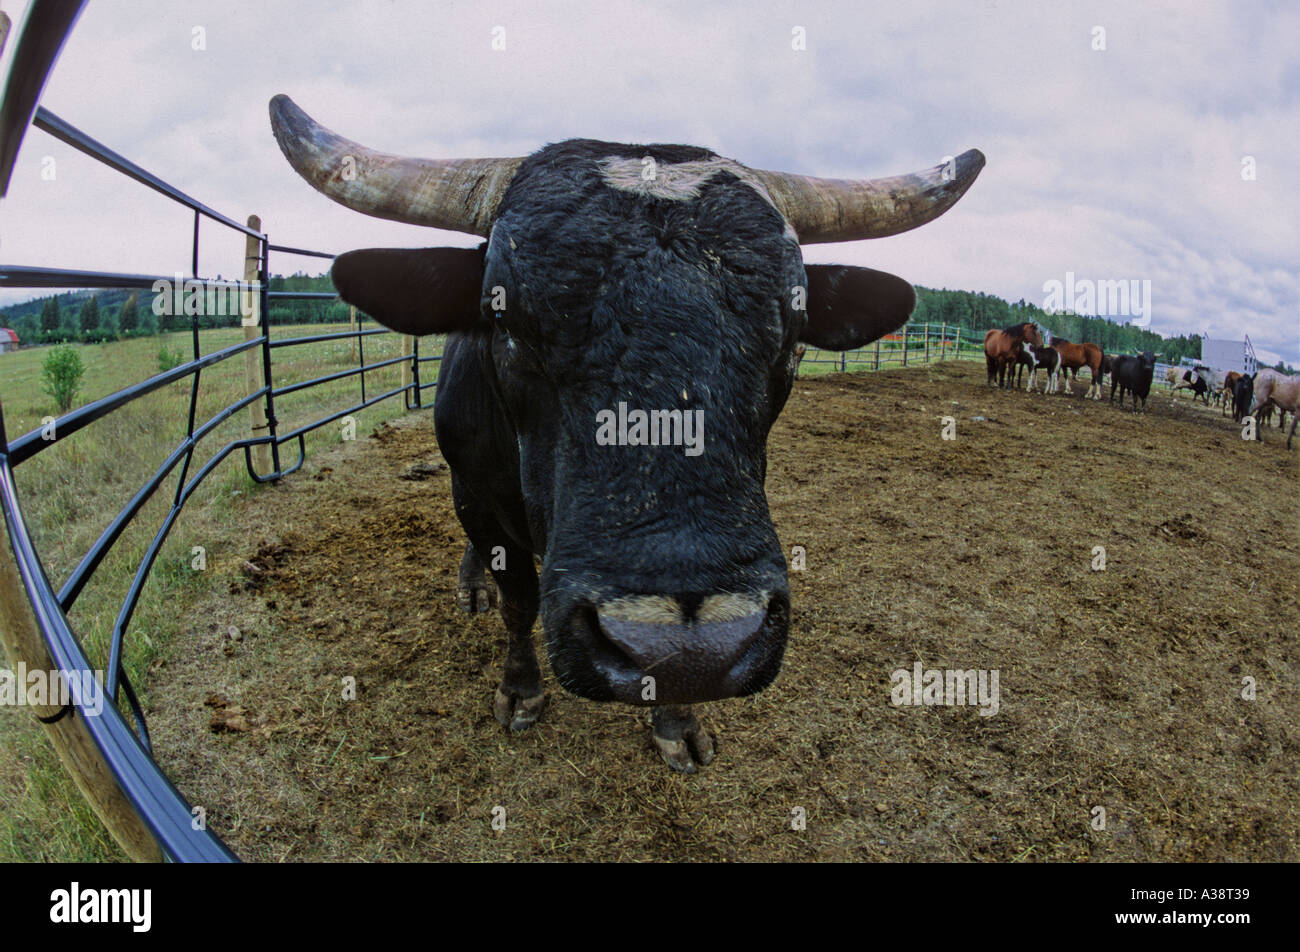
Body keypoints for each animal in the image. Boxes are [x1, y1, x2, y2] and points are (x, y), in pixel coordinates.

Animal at [268, 95, 984, 771]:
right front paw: (520, 691)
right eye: (504, 315)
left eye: (794, 328)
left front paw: (678, 721)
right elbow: (518, 603)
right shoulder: (485, 504)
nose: (684, 649)